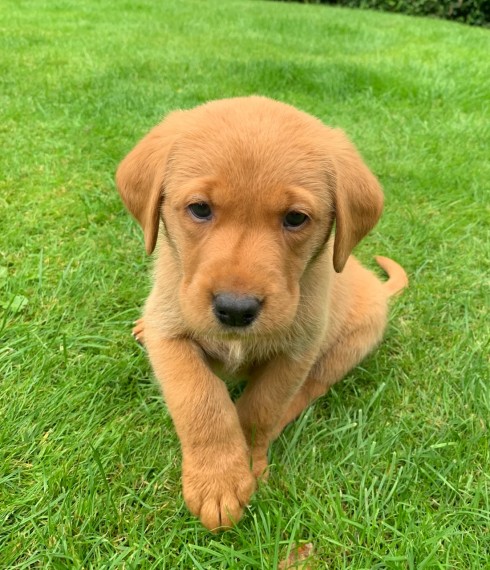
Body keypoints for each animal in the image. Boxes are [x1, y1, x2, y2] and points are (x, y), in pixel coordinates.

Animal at [115, 96, 406, 528]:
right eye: (199, 209)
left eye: (296, 218)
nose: (236, 310)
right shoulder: (169, 332)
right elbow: (200, 400)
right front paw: (217, 479)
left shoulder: (296, 352)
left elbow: (260, 408)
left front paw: (241, 467)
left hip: (352, 342)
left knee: (307, 392)